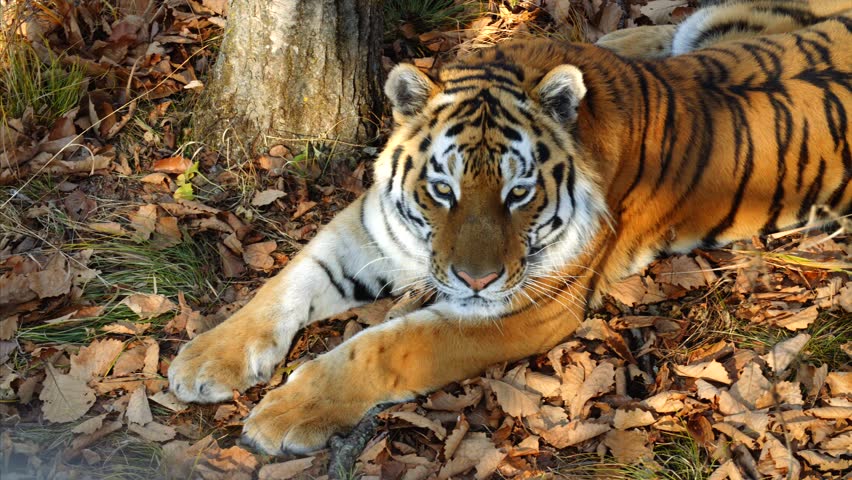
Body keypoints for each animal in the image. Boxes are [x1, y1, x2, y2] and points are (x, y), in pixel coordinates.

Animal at [167, 1, 852, 455]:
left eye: (519, 193)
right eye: (442, 190)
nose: (476, 278)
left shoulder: (523, 308)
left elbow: (386, 347)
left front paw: (283, 412)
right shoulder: (371, 227)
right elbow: (286, 282)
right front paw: (204, 359)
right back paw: (626, 38)